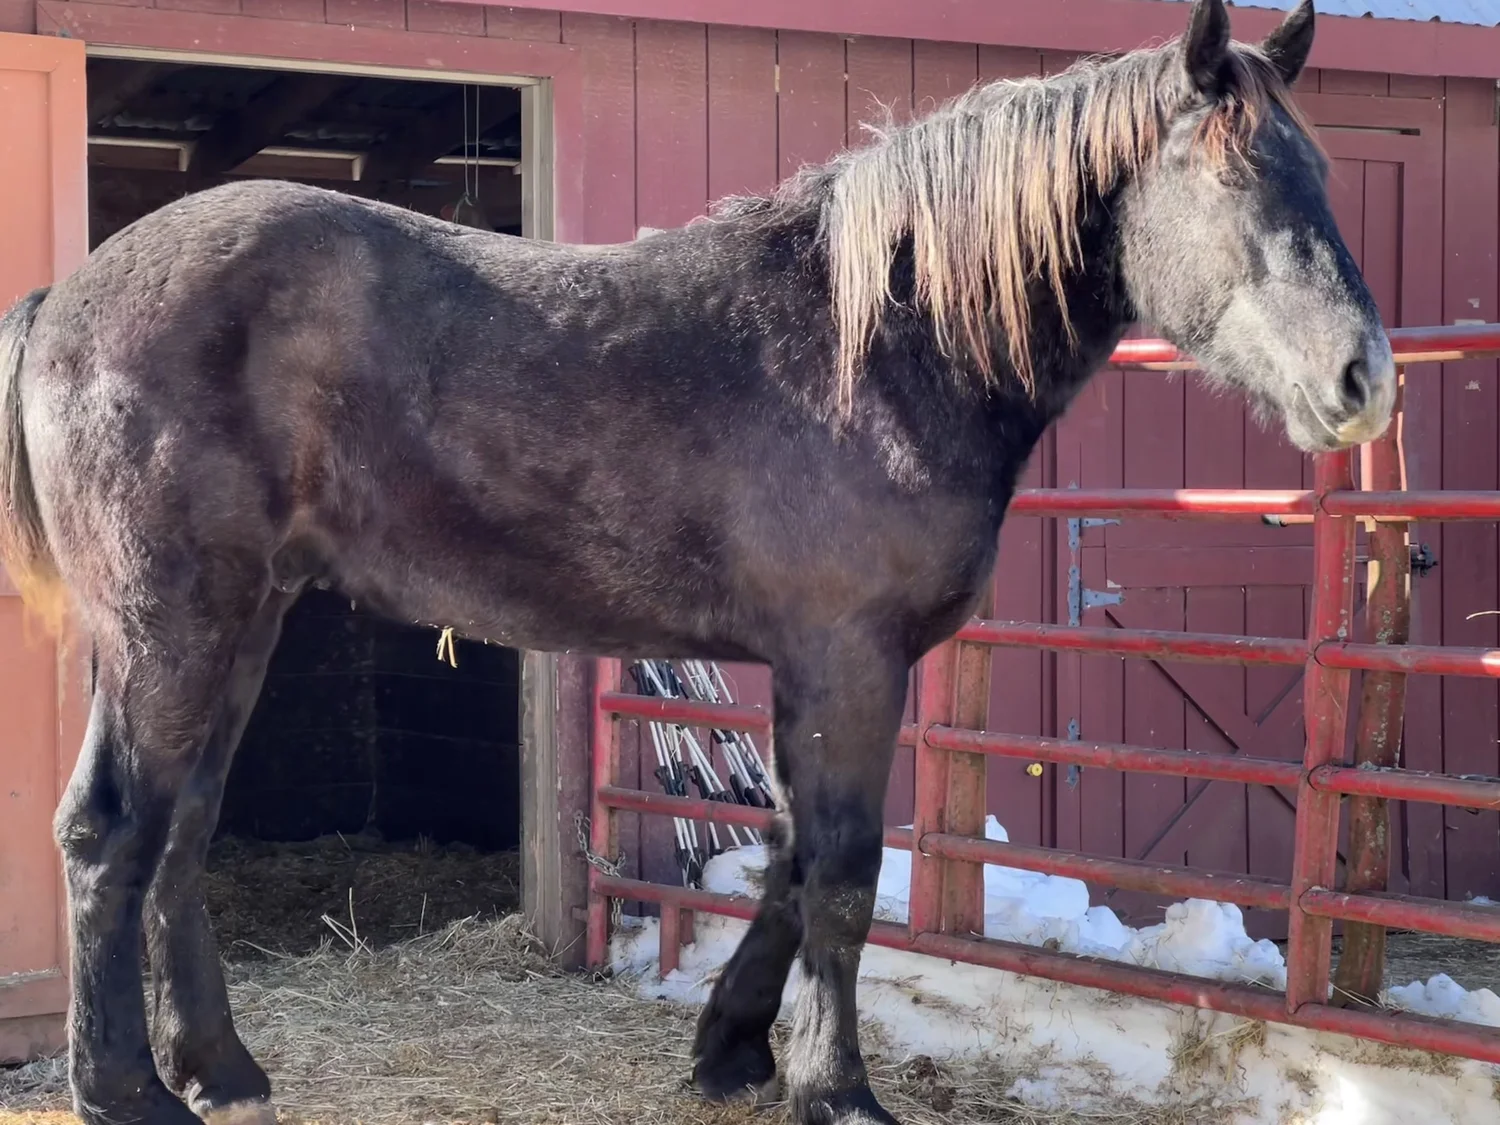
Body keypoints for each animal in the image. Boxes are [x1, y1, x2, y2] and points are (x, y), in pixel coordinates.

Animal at [0, 0, 1390, 1121]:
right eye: (1236, 180)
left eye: (1323, 172)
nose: (1364, 380)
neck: (877, 349)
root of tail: (67, 299)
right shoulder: (848, 660)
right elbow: (840, 873)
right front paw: (837, 1088)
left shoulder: (811, 669)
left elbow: (786, 851)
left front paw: (733, 1049)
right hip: (171, 626)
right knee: (110, 830)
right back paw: (123, 1089)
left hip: (242, 620)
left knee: (180, 830)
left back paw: (220, 1070)